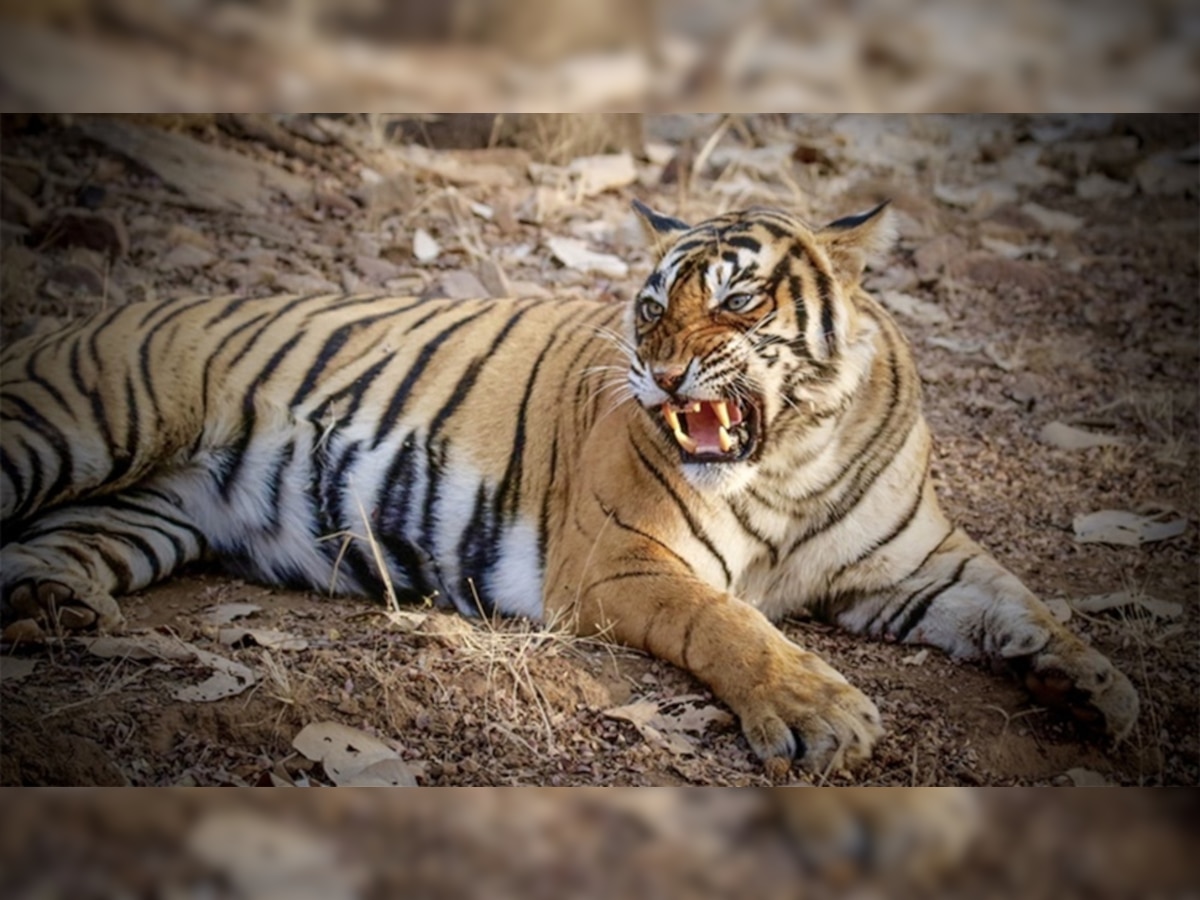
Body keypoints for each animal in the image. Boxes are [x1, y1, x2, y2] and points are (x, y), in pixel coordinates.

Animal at [0, 200, 1138, 773]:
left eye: (739, 301)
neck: (793, 462)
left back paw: (50, 608)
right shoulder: (626, 561)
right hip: (83, 424)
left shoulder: (919, 563)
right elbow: (734, 625)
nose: (664, 375)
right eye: (650, 308)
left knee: (43, 551)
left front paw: (1095, 687)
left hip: (143, 514)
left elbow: (1024, 603)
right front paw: (820, 713)